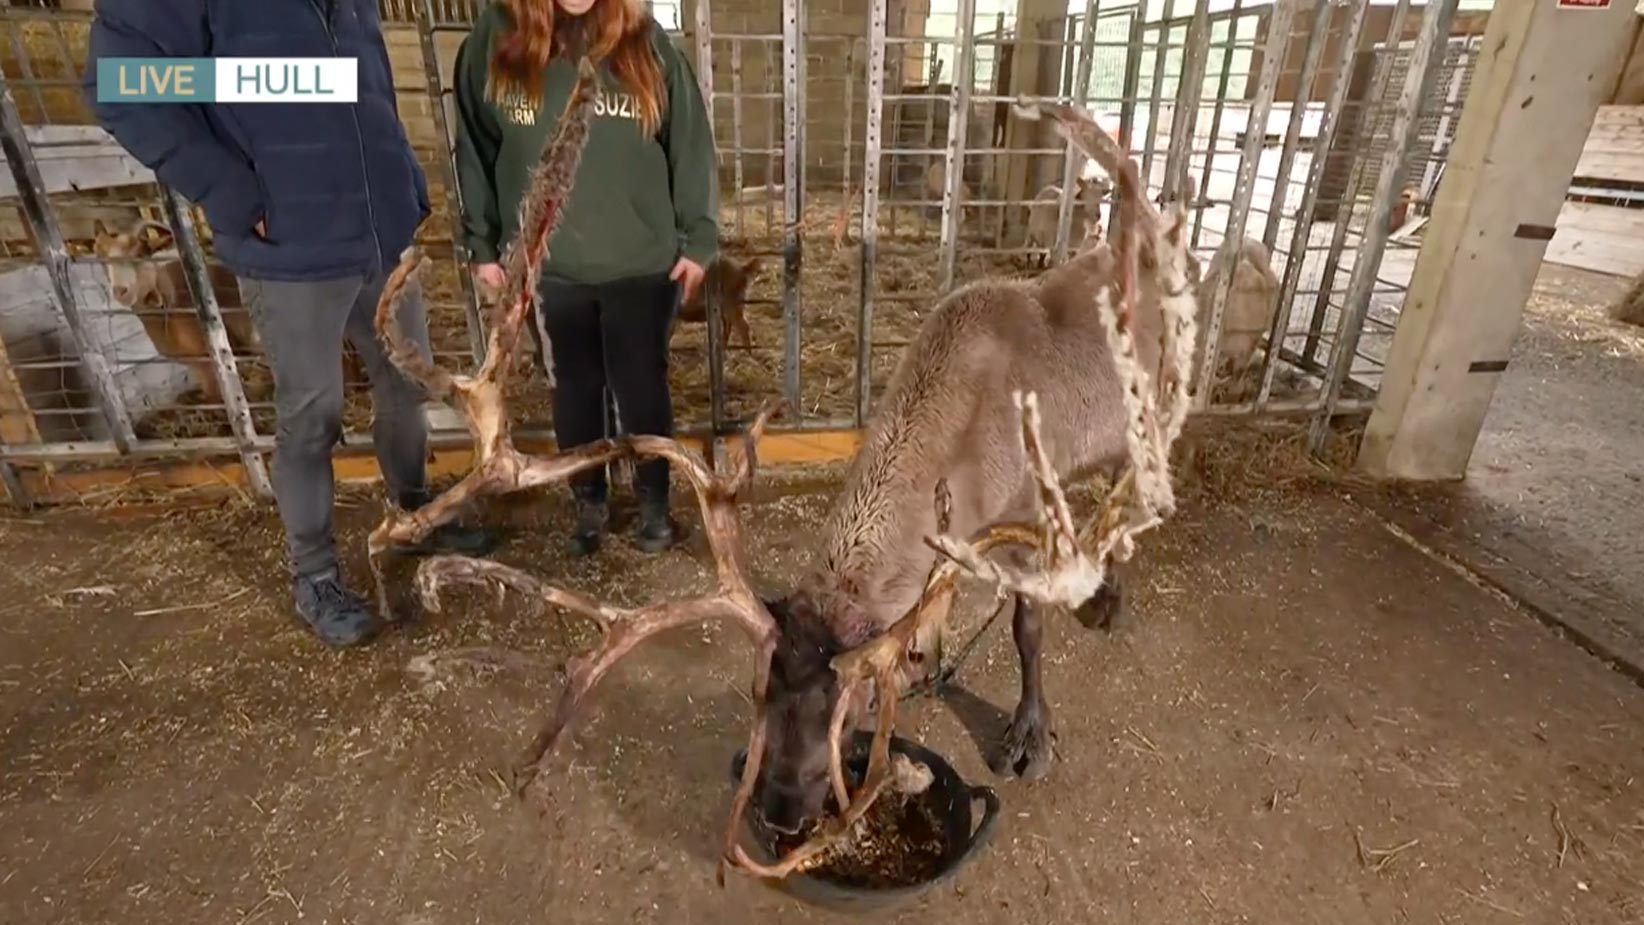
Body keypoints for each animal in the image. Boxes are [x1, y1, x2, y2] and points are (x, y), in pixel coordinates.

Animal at [366, 58, 1196, 887]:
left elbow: (1027, 626)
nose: (783, 815)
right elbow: (934, 612)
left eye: (849, 709)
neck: (961, 451)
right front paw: (927, 658)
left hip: (1154, 412)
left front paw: (1030, 735)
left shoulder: (1022, 511)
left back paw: (1106, 599)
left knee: (1137, 497)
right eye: (758, 690)